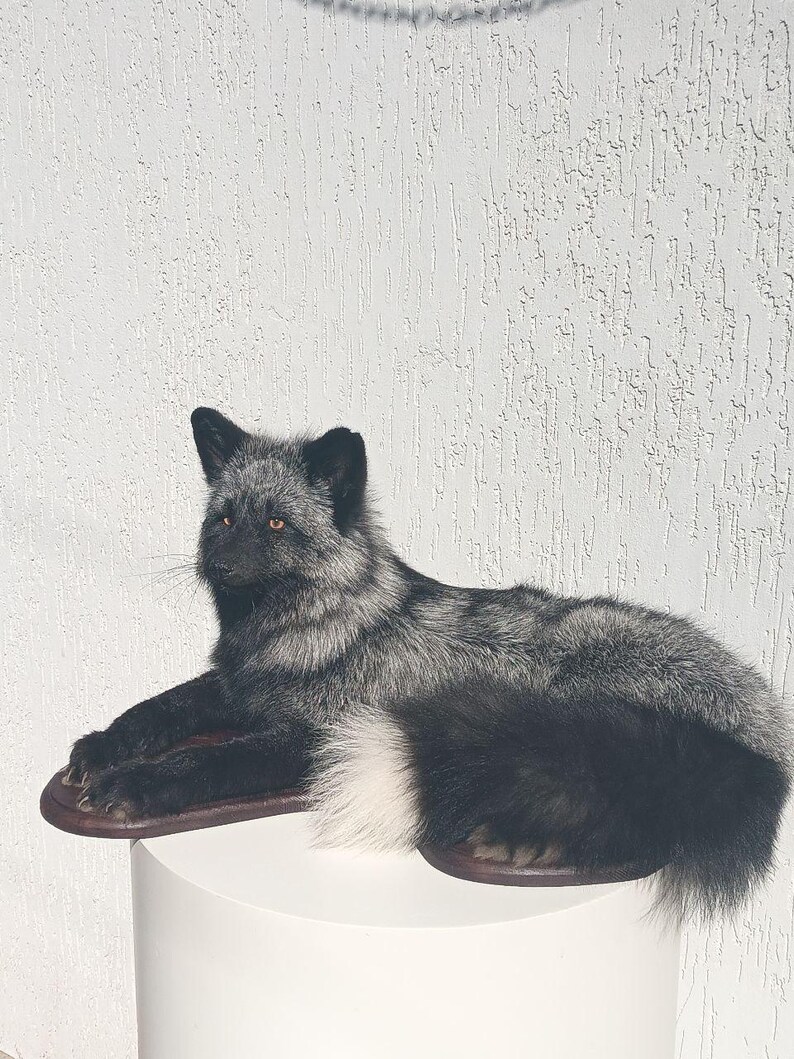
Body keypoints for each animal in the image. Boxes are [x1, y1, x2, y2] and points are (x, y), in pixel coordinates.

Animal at [65, 407, 792, 920]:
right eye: (222, 519)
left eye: (275, 525)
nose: (214, 563)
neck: (312, 629)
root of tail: (765, 728)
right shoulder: (235, 690)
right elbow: (161, 706)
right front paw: (100, 747)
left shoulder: (316, 733)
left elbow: (212, 760)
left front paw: (137, 783)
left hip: (577, 713)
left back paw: (530, 842)